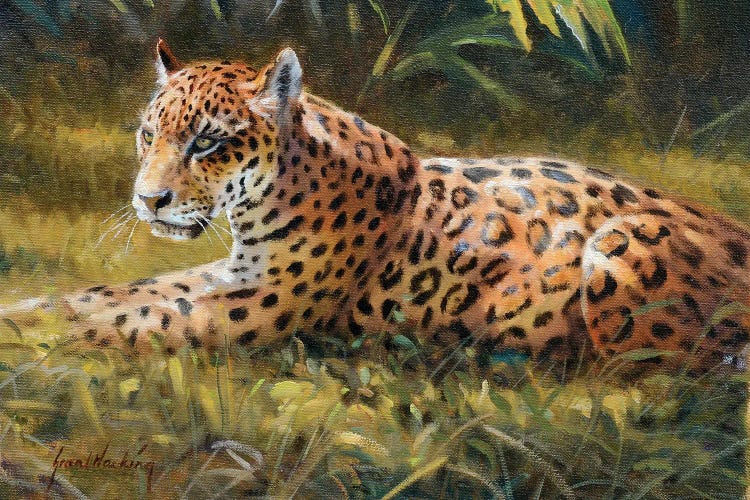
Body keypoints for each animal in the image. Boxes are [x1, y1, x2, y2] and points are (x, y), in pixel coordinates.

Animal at [2, 39, 750, 379]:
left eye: (208, 141)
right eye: (146, 134)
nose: (147, 199)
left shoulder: (250, 304)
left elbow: (122, 322)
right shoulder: (229, 274)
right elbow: (107, 295)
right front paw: (26, 309)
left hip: (620, 245)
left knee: (657, 374)